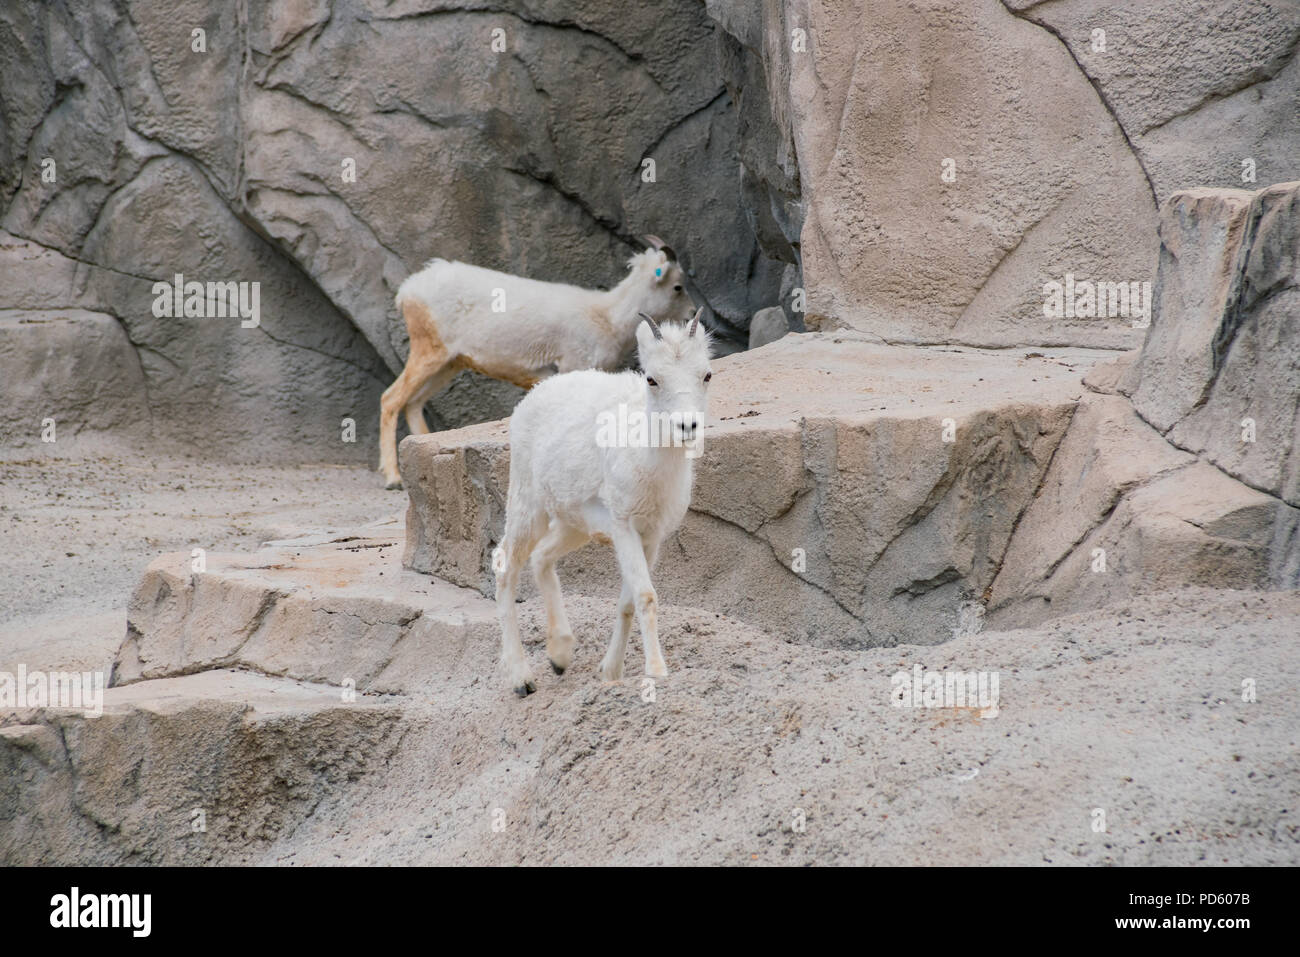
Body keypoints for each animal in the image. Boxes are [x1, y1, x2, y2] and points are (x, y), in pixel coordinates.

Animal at [378, 237, 695, 488]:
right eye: (678, 287)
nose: (693, 313)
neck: (606, 318)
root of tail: (408, 290)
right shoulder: (571, 367)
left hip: (449, 364)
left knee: (414, 402)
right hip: (429, 352)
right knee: (391, 399)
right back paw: (393, 479)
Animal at [493, 309, 712, 696]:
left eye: (707, 374)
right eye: (652, 379)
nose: (687, 425)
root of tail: (534, 395)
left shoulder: (651, 536)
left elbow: (628, 601)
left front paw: (610, 672)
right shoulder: (624, 526)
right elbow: (645, 596)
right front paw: (657, 671)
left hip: (574, 525)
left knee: (542, 558)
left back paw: (560, 656)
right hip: (527, 506)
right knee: (505, 565)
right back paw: (522, 679)